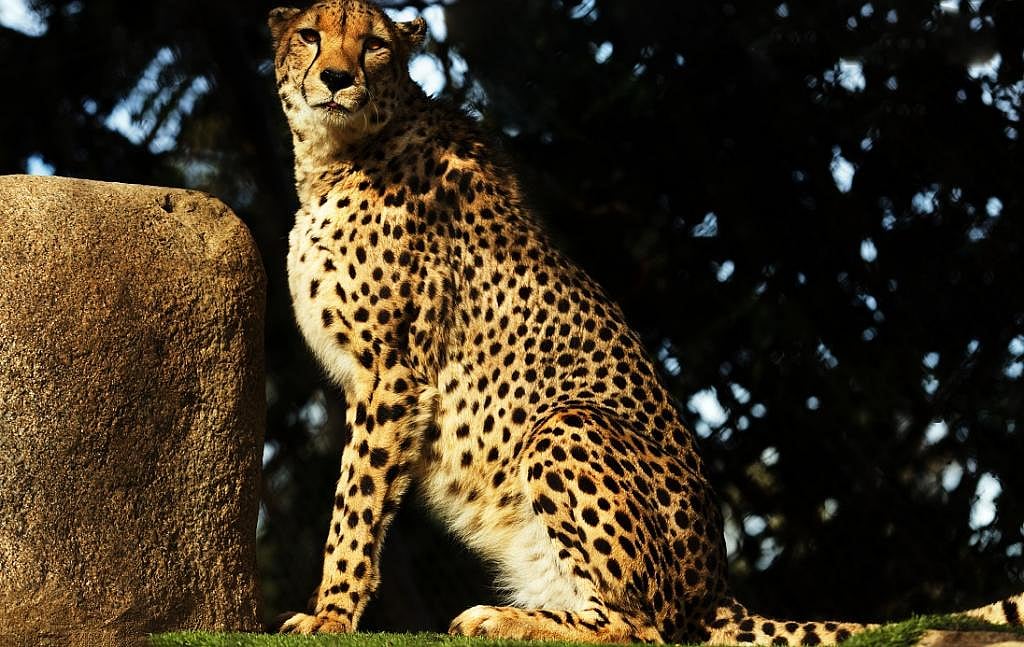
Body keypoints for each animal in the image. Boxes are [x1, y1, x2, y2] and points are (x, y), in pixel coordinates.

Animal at [267, 1, 1024, 643]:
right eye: (309, 35)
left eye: (374, 46)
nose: (335, 78)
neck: (339, 155)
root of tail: (716, 589)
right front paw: (332, 610)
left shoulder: (392, 375)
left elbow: (357, 505)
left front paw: (330, 615)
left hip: (567, 423)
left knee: (642, 628)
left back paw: (504, 619)